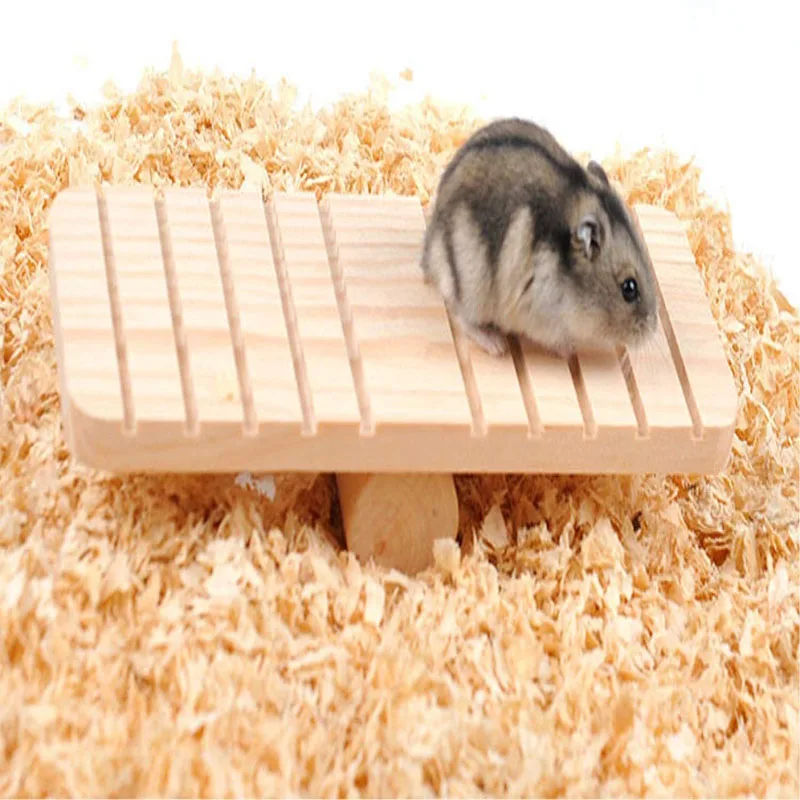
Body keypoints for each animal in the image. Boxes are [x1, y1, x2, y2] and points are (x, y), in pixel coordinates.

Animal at [420, 117, 659, 358]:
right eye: (629, 288)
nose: (652, 328)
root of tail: (429, 254)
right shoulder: (541, 317)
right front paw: (571, 350)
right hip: (471, 285)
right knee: (460, 315)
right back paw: (497, 346)